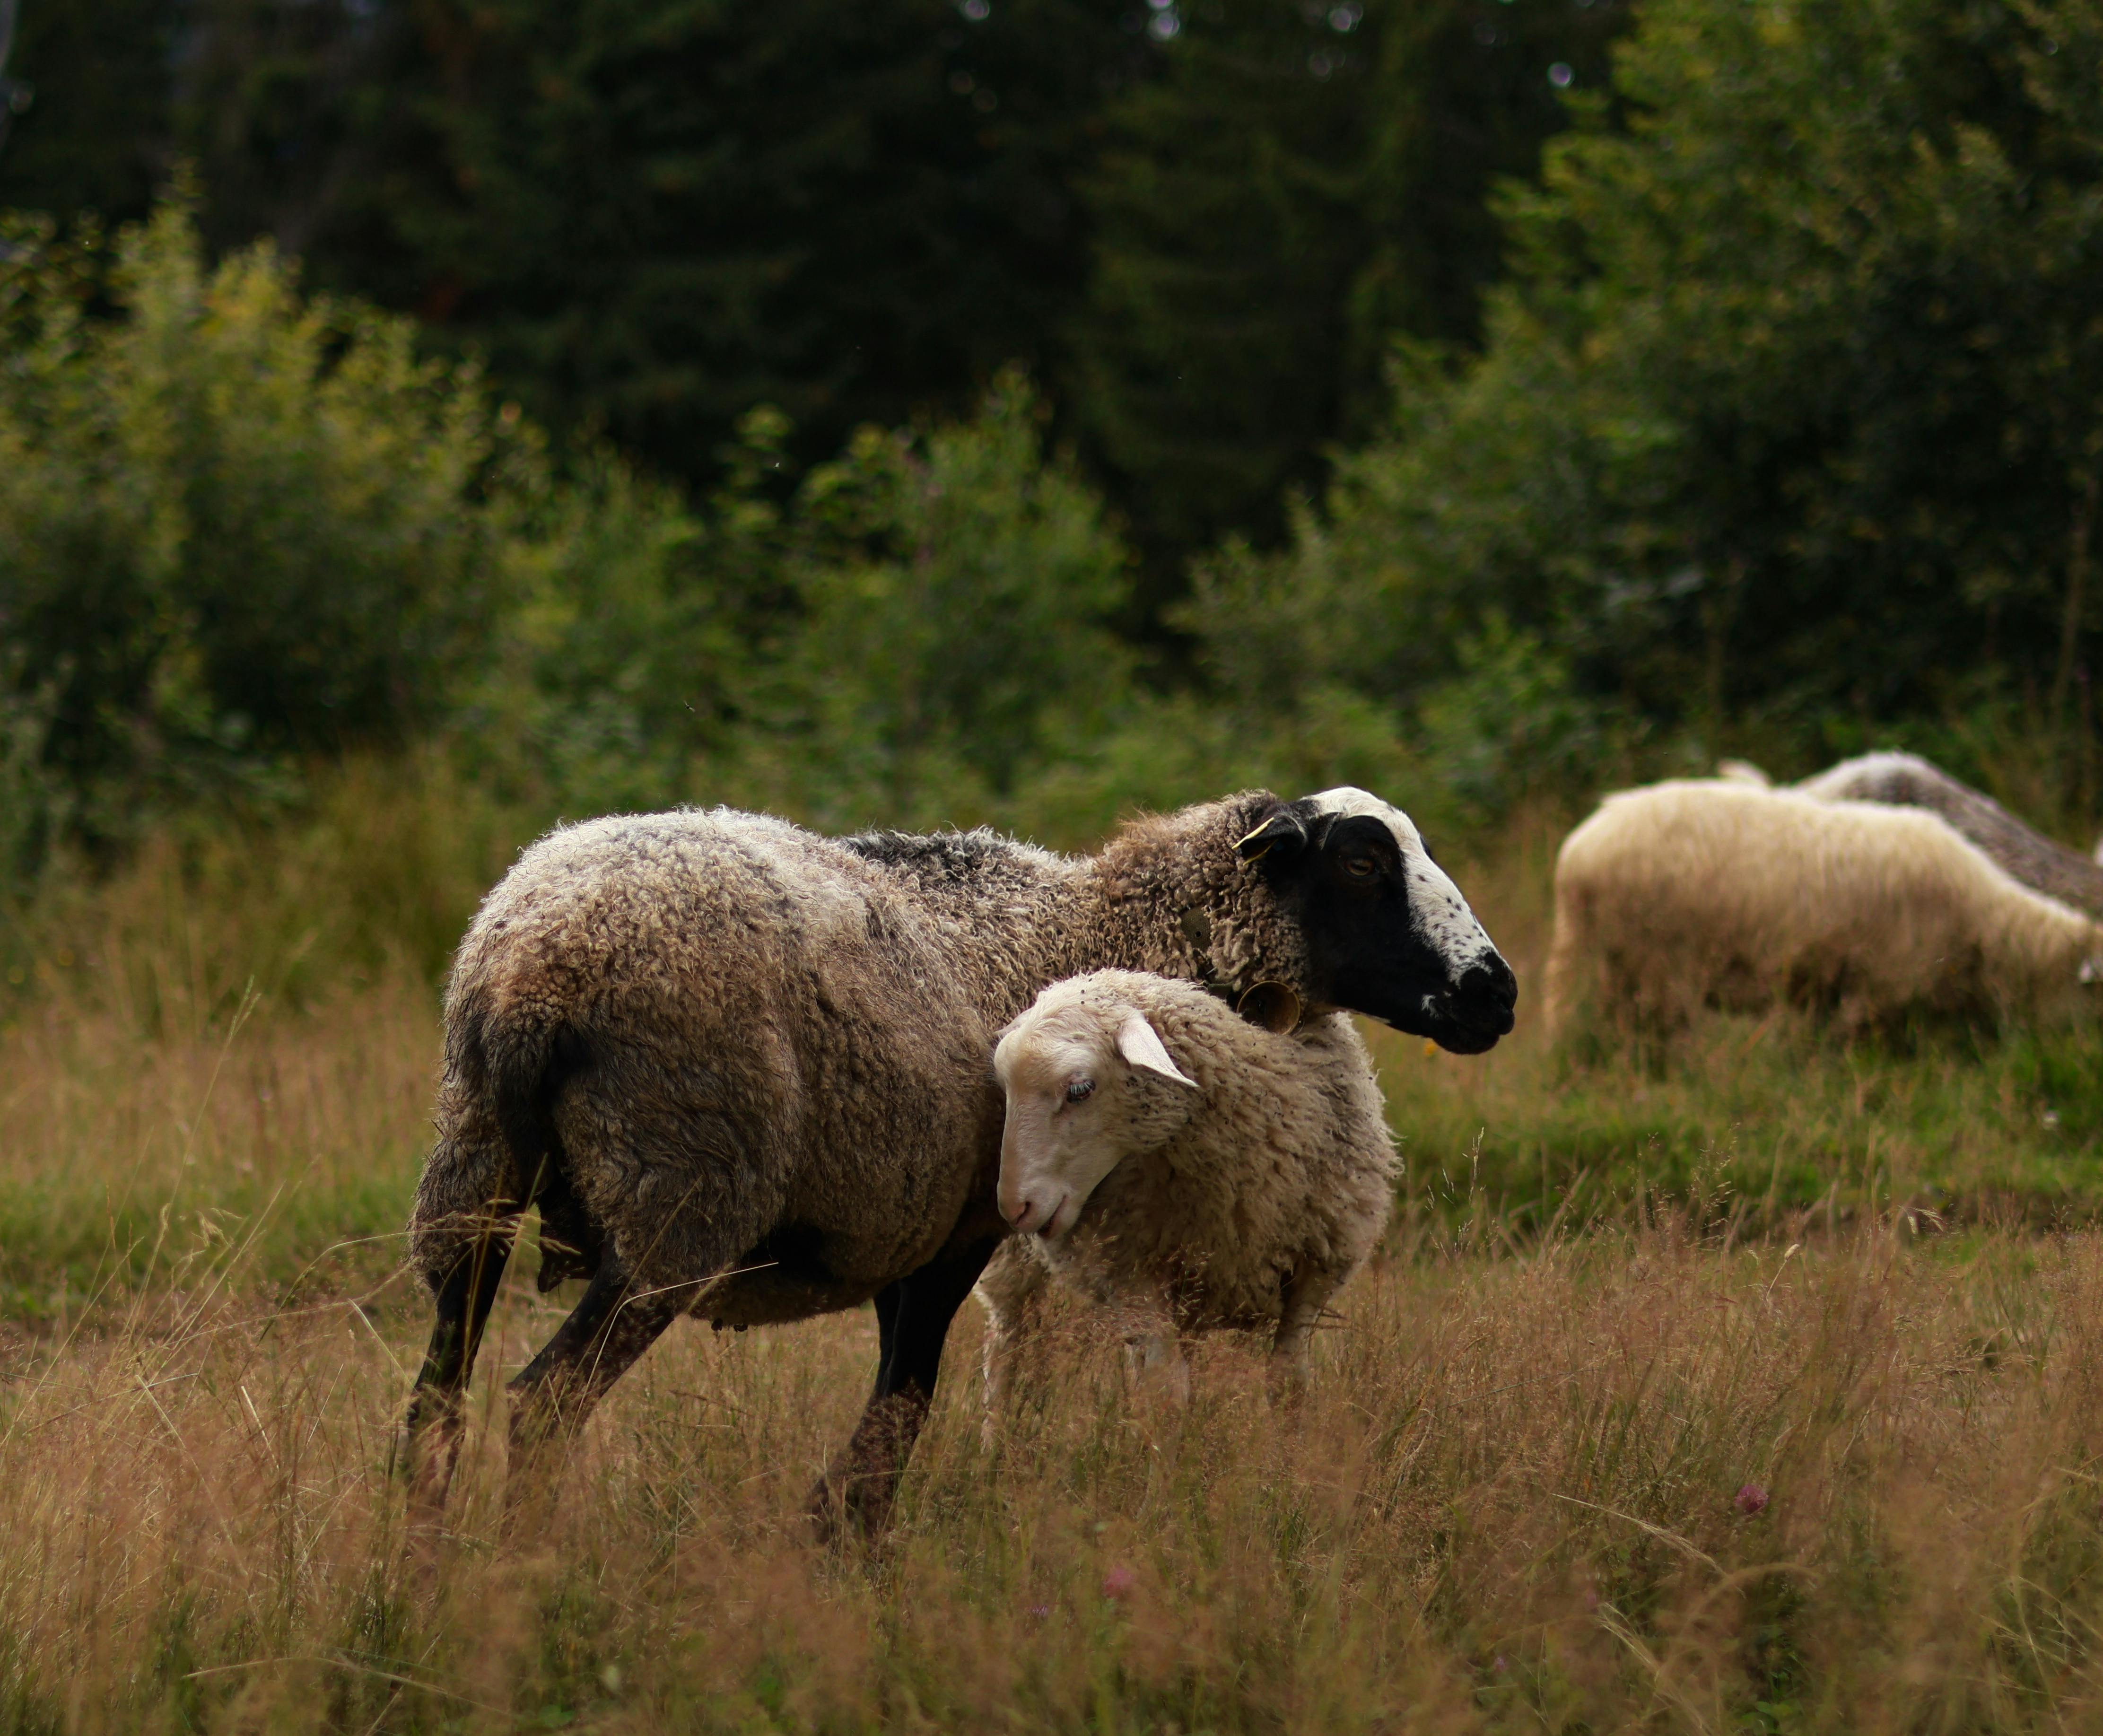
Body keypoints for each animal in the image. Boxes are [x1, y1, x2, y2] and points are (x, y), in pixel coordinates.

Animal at [972, 970, 1394, 1425]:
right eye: (1003, 1089)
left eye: (1080, 1088)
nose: (1015, 1208)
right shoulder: (1133, 1273)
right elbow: (1166, 1391)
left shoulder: (1317, 1269)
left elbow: (1288, 1384)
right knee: (1008, 1340)